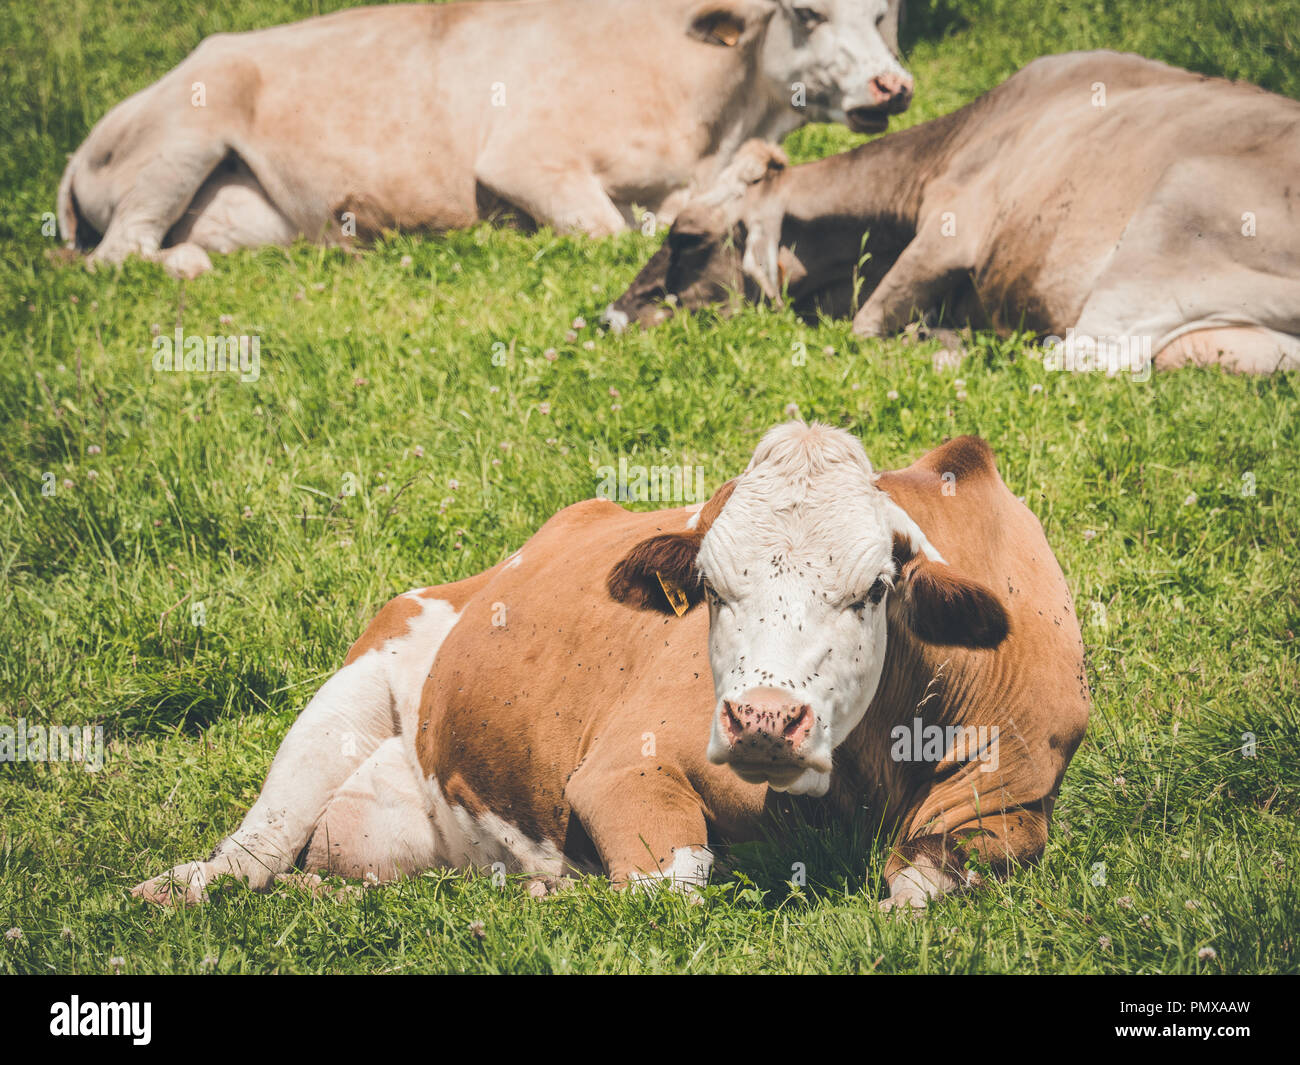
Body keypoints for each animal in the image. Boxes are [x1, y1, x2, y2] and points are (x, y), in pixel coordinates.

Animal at [58, 0, 911, 279]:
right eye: (807, 13)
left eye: (881, 14)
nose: (892, 85)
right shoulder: (524, 157)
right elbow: (611, 229)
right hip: (182, 136)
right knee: (120, 253)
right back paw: (183, 264)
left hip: (251, 213)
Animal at [132, 422, 1089, 912]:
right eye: (711, 588)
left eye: (875, 589)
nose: (763, 720)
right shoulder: (626, 768)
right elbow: (676, 877)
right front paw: (559, 892)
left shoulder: (1013, 803)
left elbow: (927, 882)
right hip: (356, 683)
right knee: (255, 845)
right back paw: (178, 885)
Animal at [604, 51, 1300, 374]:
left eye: (687, 236)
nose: (608, 317)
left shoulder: (952, 231)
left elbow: (863, 329)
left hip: (1171, 210)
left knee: (1069, 356)